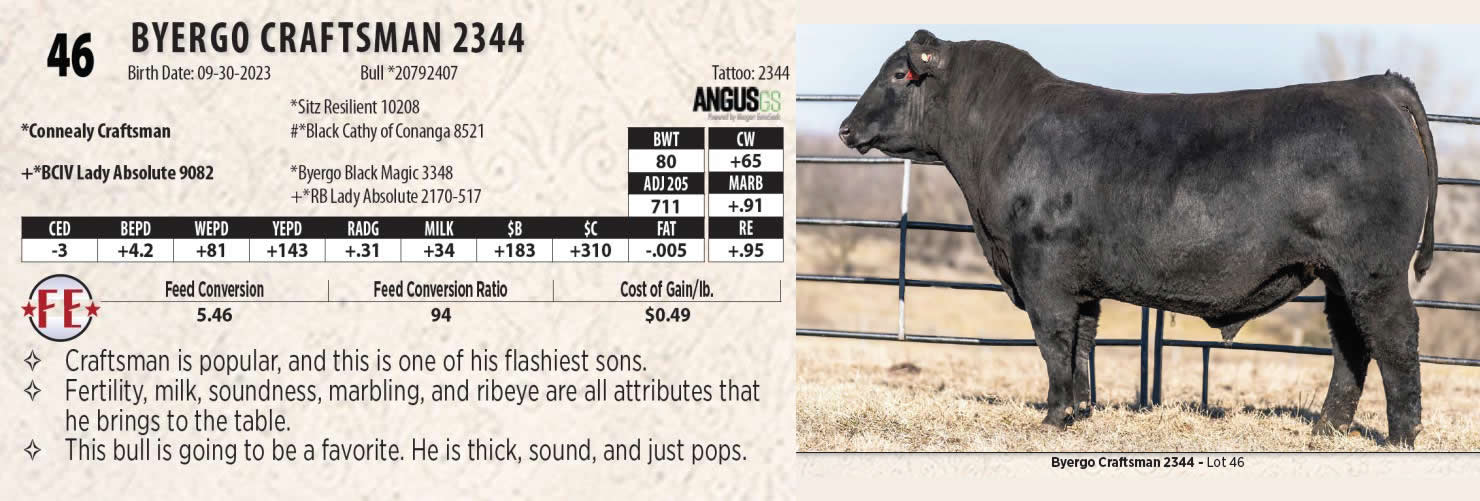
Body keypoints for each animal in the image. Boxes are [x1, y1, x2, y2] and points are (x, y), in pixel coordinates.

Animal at [838, 30, 1438, 446]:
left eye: (899, 75)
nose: (845, 128)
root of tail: (1374, 85)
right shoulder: (1078, 283)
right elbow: (1081, 343)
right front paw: (1079, 411)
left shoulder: (1041, 271)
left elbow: (1052, 341)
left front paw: (1051, 416)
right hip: (1340, 275)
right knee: (1350, 342)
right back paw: (1326, 429)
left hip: (1374, 271)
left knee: (1395, 338)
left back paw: (1401, 437)